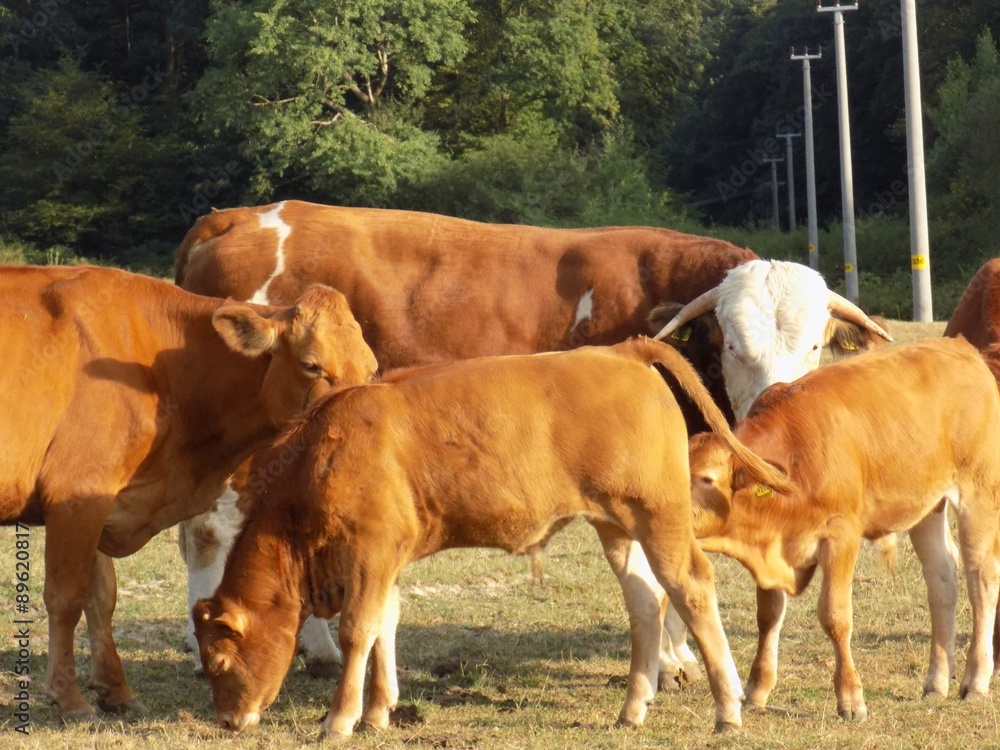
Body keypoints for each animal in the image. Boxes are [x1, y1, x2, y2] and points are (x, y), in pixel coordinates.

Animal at [0, 265, 376, 721]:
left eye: (372, 369)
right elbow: (66, 596)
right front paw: (69, 697)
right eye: (311, 365)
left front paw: (116, 689)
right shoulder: (78, 493)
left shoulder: (99, 499)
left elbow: (101, 597)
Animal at [174, 200, 891, 681]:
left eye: (816, 344)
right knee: (210, 527)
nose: (776, 407)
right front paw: (672, 657)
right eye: (734, 344)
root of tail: (239, 215)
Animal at [193, 337, 794, 738]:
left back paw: (728, 709)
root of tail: (619, 350)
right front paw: (380, 711)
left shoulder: (369, 550)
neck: (323, 454)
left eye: (218, 664)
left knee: (691, 587)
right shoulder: (387, 559)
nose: (228, 721)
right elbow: (386, 624)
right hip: (617, 526)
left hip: (659, 516)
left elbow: (358, 630)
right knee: (646, 603)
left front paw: (340, 719)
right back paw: (631, 709)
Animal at [686, 337, 1000, 720]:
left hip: (978, 496)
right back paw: (937, 681)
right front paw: (758, 687)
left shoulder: (841, 538)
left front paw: (850, 698)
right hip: (928, 507)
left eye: (706, 479)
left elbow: (835, 617)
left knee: (982, 578)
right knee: (942, 580)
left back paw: (976, 680)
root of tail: (959, 347)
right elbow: (768, 614)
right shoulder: (771, 547)